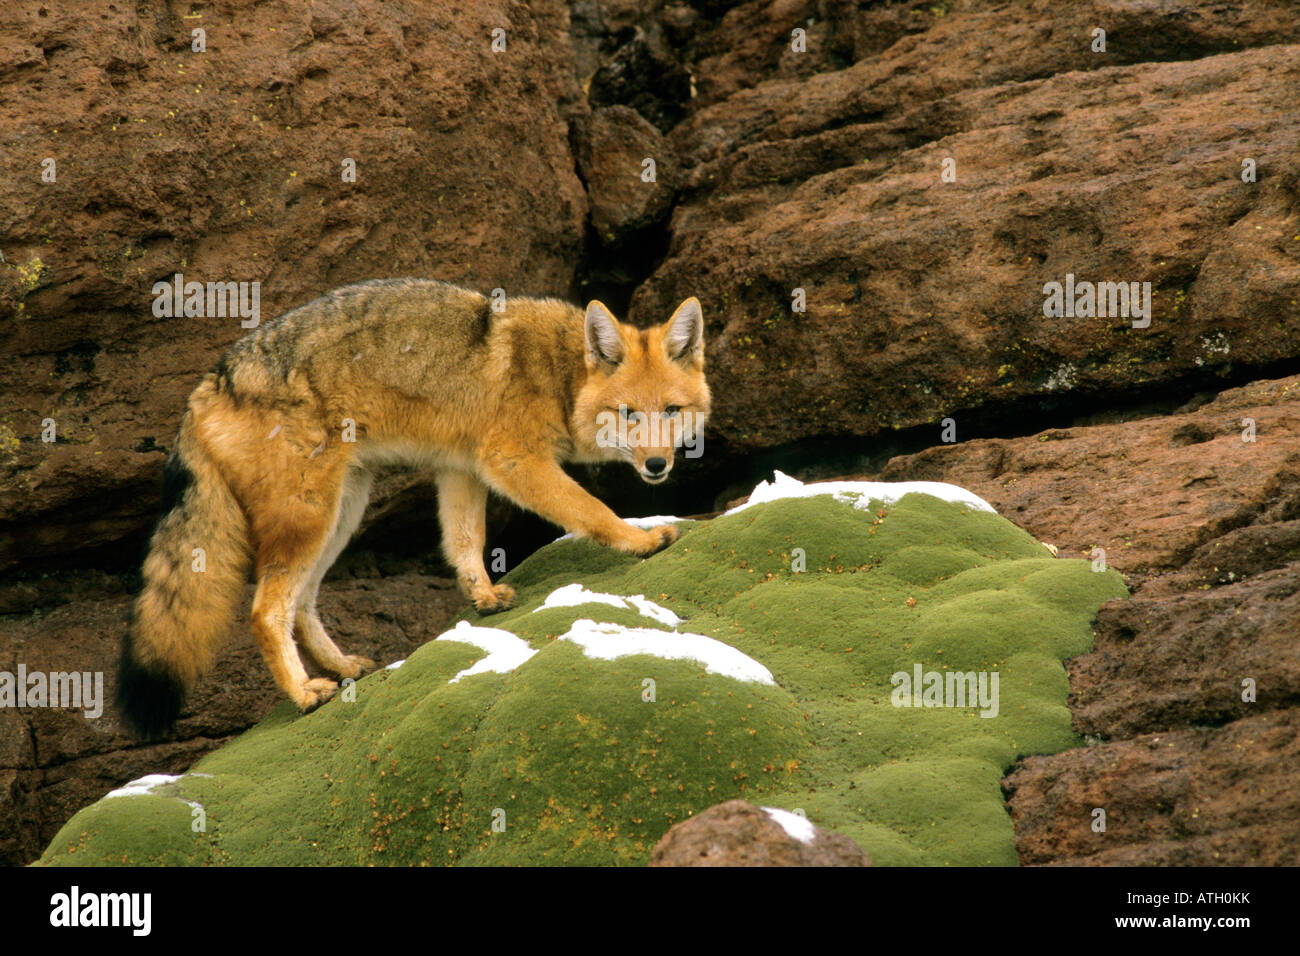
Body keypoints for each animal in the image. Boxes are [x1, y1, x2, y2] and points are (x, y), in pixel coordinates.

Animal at [117, 278, 710, 737]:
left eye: (672, 410)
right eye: (629, 413)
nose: (657, 465)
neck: (557, 373)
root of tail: (209, 383)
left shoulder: (462, 470)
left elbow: (465, 543)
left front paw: (484, 598)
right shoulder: (512, 461)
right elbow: (589, 509)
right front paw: (639, 539)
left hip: (341, 512)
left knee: (301, 604)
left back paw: (342, 667)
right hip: (311, 516)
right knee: (266, 612)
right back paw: (305, 694)